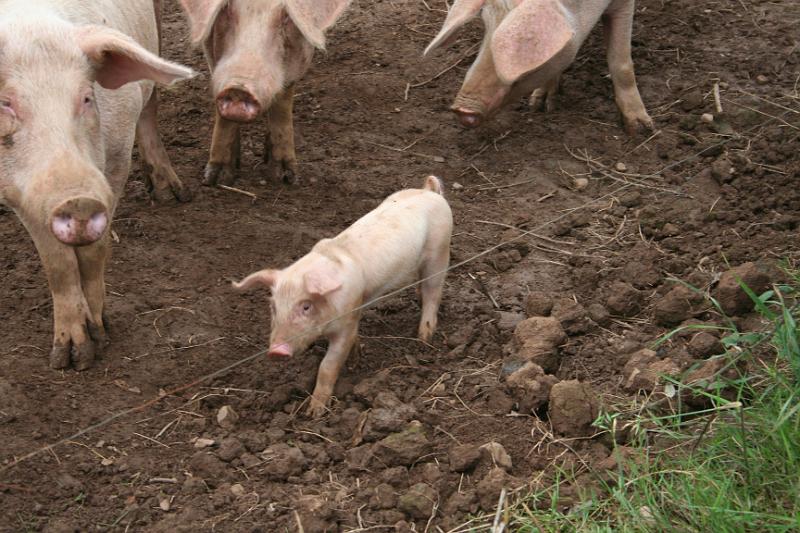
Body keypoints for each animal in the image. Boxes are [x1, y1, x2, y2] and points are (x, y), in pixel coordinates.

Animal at [0, 0, 194, 370]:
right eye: (5, 103)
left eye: (87, 97)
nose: (77, 200)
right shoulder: (18, 192)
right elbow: (57, 264)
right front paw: (67, 358)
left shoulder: (116, 160)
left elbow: (95, 252)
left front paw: (100, 338)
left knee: (150, 99)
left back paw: (170, 193)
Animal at [178, 0, 351, 187]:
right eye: (227, 11)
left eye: (286, 17)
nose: (239, 89)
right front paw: (215, 180)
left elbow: (281, 109)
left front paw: (285, 179)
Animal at [233, 176, 453, 417]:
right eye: (274, 307)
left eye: (306, 306)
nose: (276, 351)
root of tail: (430, 192)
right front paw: (356, 360)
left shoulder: (346, 321)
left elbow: (327, 366)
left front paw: (314, 413)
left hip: (440, 252)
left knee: (433, 292)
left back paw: (424, 338)